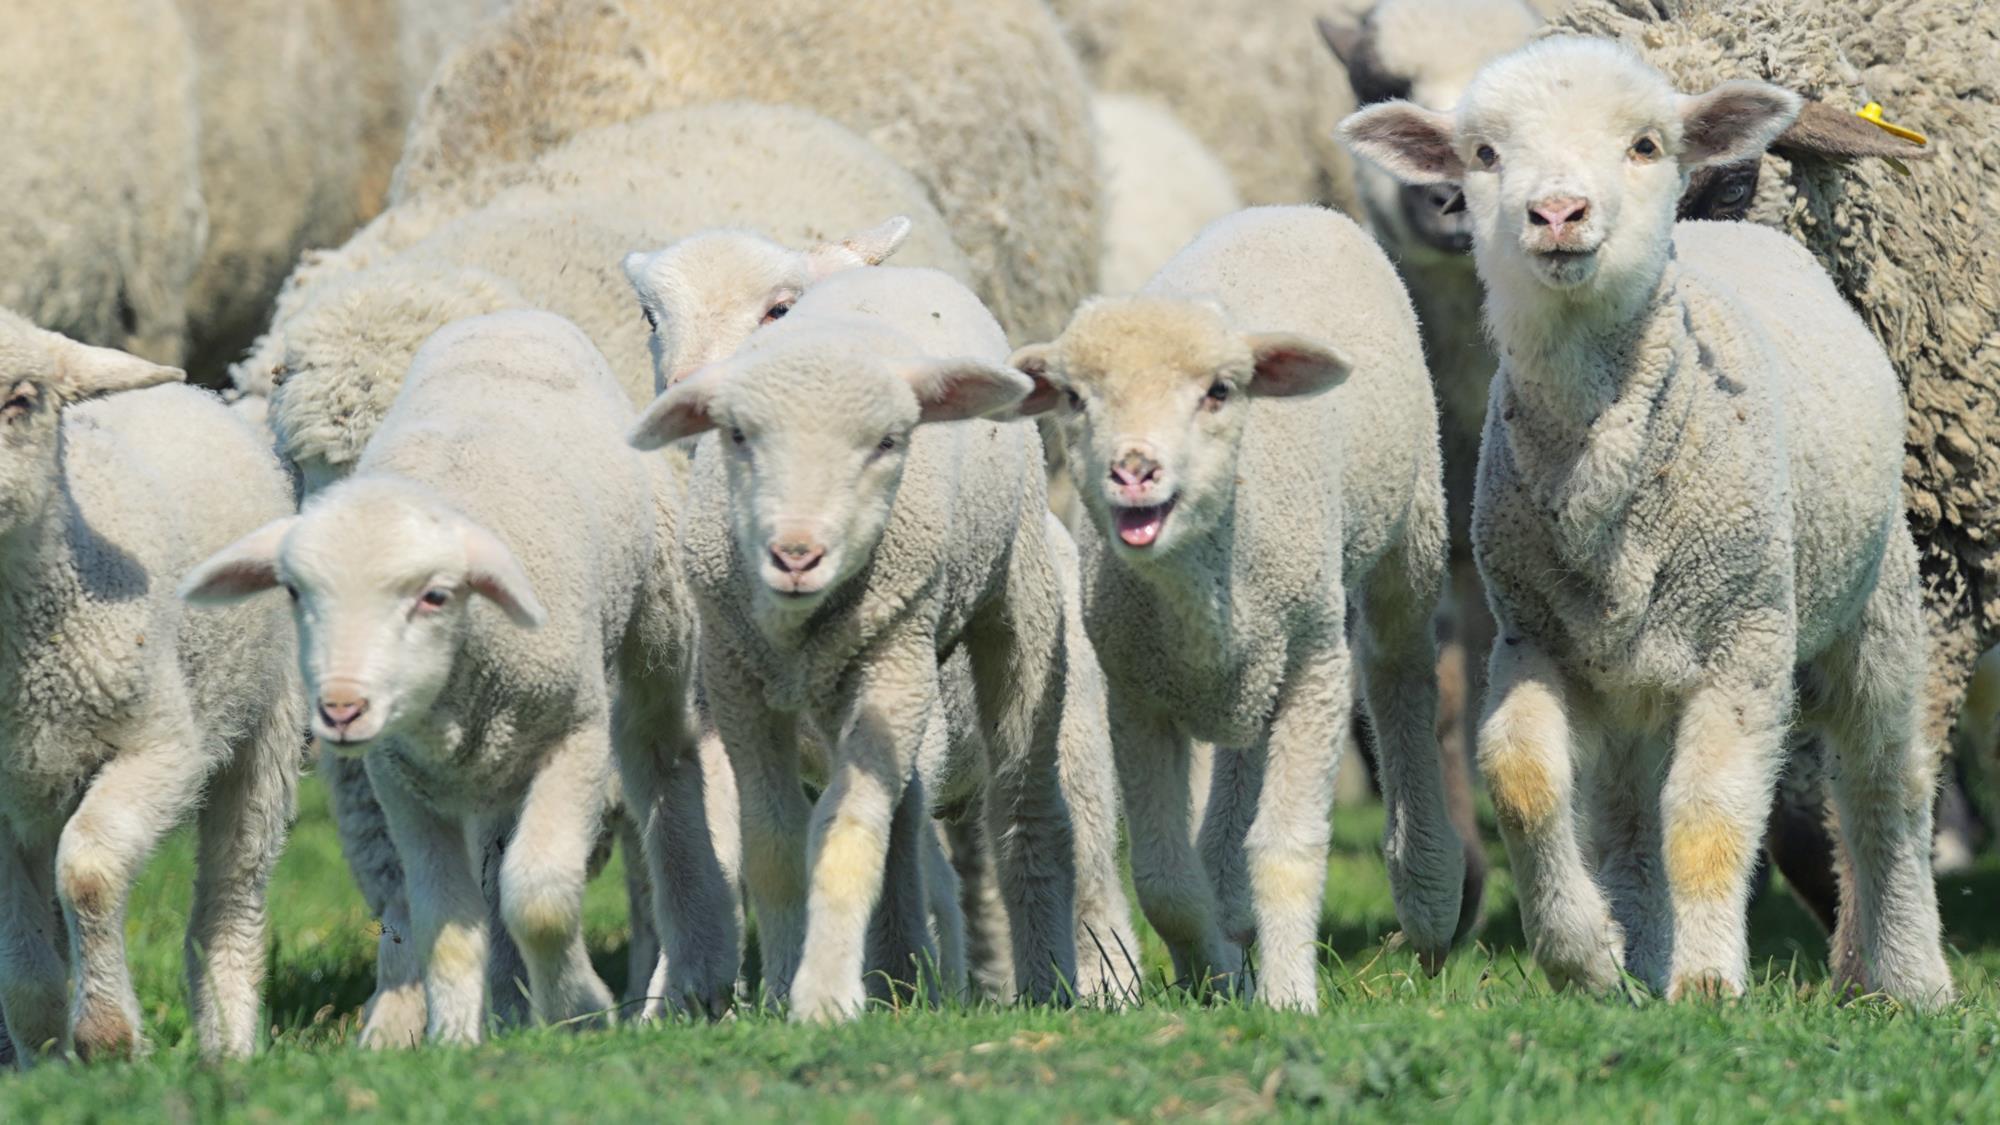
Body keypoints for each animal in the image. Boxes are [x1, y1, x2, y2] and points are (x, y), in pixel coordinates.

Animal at [0, 310, 303, 1063]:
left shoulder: (160, 746)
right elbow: (25, 966)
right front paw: (41, 1058)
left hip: (265, 729)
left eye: (21, 400)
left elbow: (90, 870)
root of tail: (192, 390)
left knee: (232, 897)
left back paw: (229, 1046)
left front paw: (108, 1039)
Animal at [183, 310, 736, 1042]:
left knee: (659, 757)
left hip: (658, 618)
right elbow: (446, 923)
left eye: (435, 596)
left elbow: (539, 895)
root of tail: (511, 318)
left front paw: (580, 1010)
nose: (341, 708)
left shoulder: (574, 738)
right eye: (296, 592)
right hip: (496, 762)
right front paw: (453, 1038)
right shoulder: (403, 786)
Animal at [629, 266, 1093, 1022]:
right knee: (905, 813)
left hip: (1013, 591)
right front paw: (784, 981)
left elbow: (845, 831)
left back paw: (1048, 978)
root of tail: (905, 271)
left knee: (1024, 792)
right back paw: (899, 966)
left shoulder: (893, 660)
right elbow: (774, 844)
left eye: (887, 442)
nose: (795, 554)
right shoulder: (736, 684)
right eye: (737, 435)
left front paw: (824, 995)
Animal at [1003, 205, 1463, 1010]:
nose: (1133, 470)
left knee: (1399, 669)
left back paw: (1429, 898)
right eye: (1074, 397)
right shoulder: (1136, 697)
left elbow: (1287, 848)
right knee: (1241, 758)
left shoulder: (1315, 673)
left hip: (1410, 516)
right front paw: (1211, 972)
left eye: (1219, 391)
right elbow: (1163, 883)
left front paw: (1288, 998)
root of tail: (1293, 210)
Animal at [1341, 36, 1955, 1006]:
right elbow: (1521, 776)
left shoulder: (1745, 643)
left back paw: (1906, 974)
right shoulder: (1533, 635)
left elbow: (1707, 814)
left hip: (1875, 599)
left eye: (1644, 145)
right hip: (1632, 674)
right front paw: (1586, 957)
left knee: (1884, 777)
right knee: (1629, 815)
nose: (1558, 212)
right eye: (1483, 155)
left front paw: (1706, 985)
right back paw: (1640, 943)